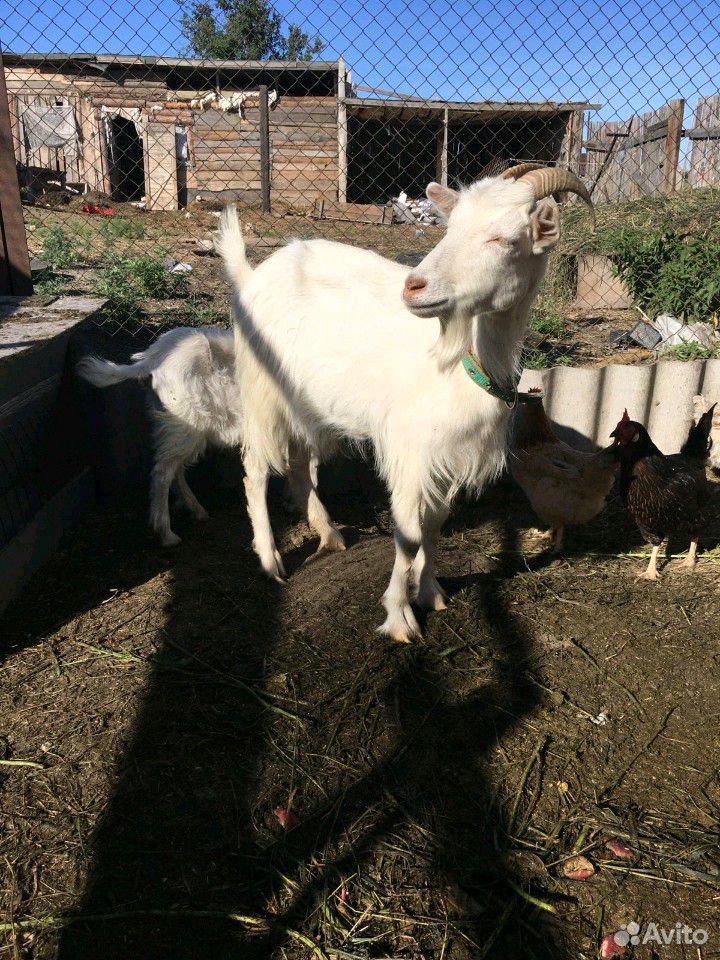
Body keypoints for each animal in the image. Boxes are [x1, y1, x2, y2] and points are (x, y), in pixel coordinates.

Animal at [77, 327, 242, 546]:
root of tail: (151, 358)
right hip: (186, 422)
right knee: (162, 473)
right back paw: (167, 533)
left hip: (175, 424)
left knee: (175, 470)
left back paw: (196, 510)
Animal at [218, 164, 593, 641]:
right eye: (450, 227)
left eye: (505, 239)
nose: (414, 287)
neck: (462, 361)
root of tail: (252, 276)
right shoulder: (411, 449)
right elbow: (410, 533)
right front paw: (398, 616)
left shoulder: (451, 452)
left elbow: (436, 525)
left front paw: (431, 592)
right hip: (262, 391)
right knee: (255, 469)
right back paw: (270, 560)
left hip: (305, 399)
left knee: (300, 462)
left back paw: (329, 533)